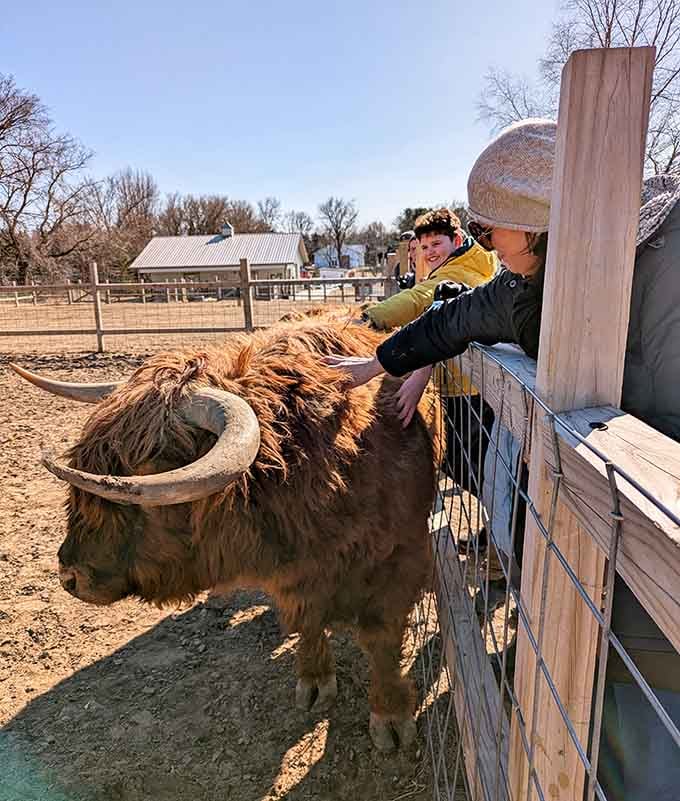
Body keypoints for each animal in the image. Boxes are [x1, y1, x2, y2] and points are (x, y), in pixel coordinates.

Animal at [11, 314, 439, 751]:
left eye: (147, 477)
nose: (70, 576)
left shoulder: (400, 563)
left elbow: (380, 641)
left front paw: (390, 717)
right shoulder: (293, 576)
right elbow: (306, 621)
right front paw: (315, 680)